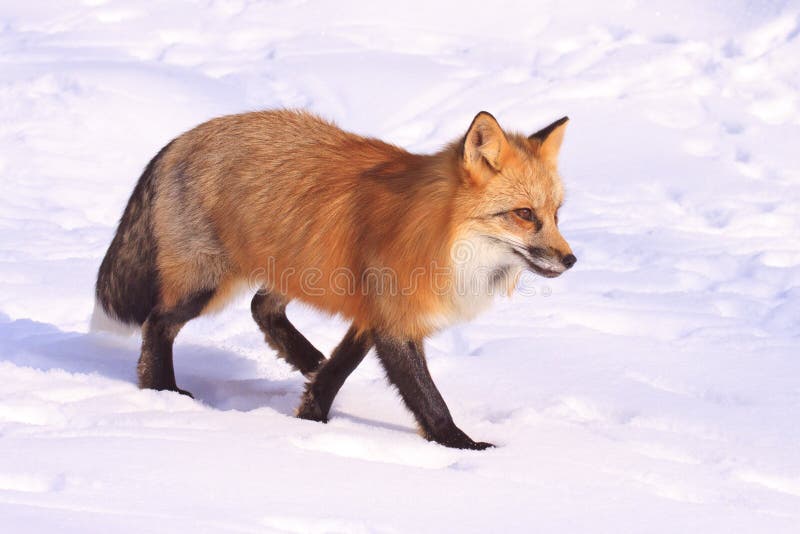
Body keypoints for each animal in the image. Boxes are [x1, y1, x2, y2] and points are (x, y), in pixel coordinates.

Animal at [94, 109, 576, 449]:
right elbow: (429, 400)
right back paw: (161, 393)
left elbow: (337, 373)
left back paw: (307, 358)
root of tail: (180, 139)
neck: (439, 234)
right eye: (524, 214)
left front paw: (311, 420)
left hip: (290, 267)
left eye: (555, 214)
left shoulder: (373, 315)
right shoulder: (395, 323)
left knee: (261, 308)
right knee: (158, 323)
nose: (571, 260)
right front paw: (465, 447)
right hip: (206, 284)